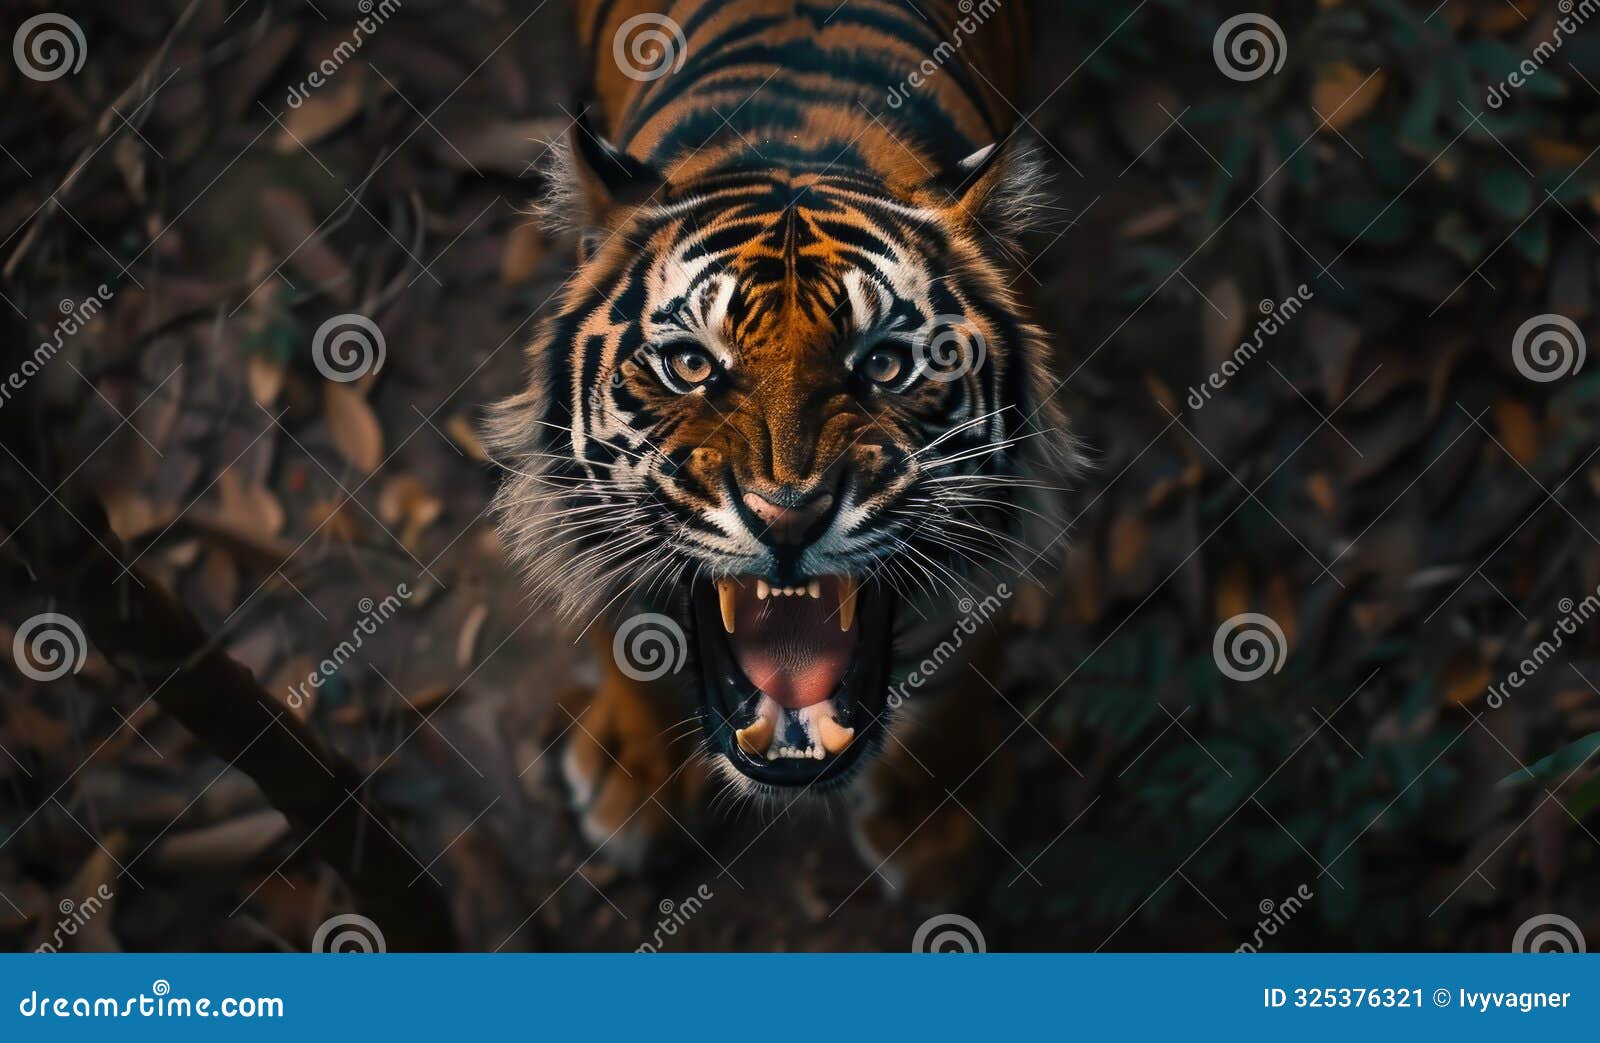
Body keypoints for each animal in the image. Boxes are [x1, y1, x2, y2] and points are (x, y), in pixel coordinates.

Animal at [486, 0, 1079, 883]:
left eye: (886, 363)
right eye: (691, 363)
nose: (789, 515)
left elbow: (973, 653)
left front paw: (940, 822)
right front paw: (632, 781)